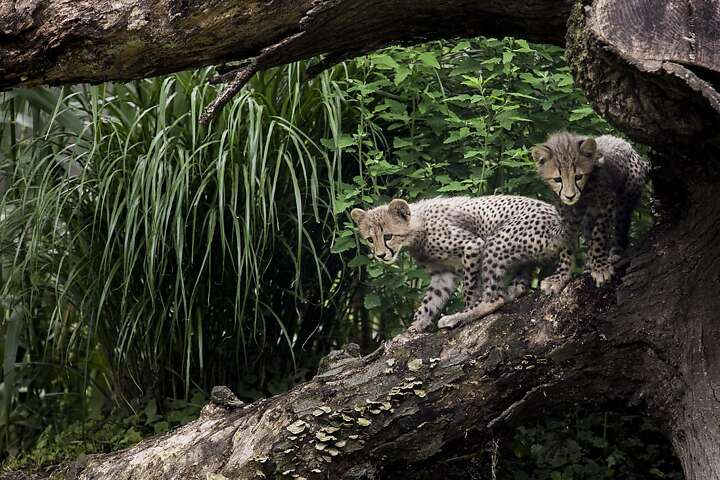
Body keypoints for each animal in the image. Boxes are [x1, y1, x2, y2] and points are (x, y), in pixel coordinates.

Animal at [350, 195, 573, 332]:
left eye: (388, 236)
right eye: (370, 240)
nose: (380, 255)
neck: (417, 228)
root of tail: (558, 219)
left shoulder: (473, 246)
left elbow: (469, 288)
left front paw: (465, 310)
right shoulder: (442, 274)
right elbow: (430, 301)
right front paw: (415, 327)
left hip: (497, 242)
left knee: (495, 299)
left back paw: (459, 317)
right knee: (519, 287)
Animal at [532, 132, 649, 286]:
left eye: (578, 176)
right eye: (558, 179)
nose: (570, 196)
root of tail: (623, 141)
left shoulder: (606, 202)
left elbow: (598, 235)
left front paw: (600, 268)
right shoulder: (565, 215)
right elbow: (566, 243)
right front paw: (560, 277)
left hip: (626, 198)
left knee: (621, 227)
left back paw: (614, 254)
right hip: (589, 217)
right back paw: (589, 262)